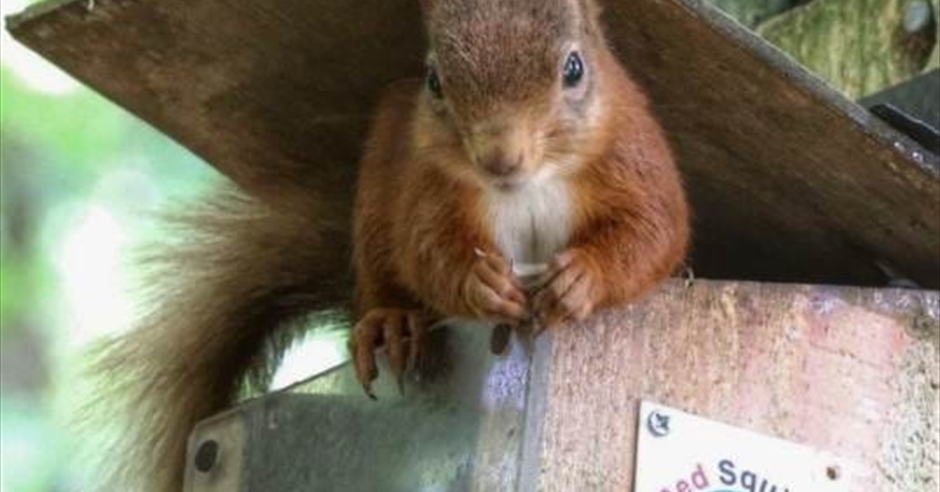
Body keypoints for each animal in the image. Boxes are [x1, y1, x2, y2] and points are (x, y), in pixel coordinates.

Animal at [89, 0, 688, 491]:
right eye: (434, 80)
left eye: (574, 68)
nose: (500, 158)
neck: (528, 184)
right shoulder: (428, 185)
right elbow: (424, 248)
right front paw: (480, 283)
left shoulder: (634, 154)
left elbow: (655, 231)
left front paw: (581, 278)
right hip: (379, 175)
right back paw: (391, 322)